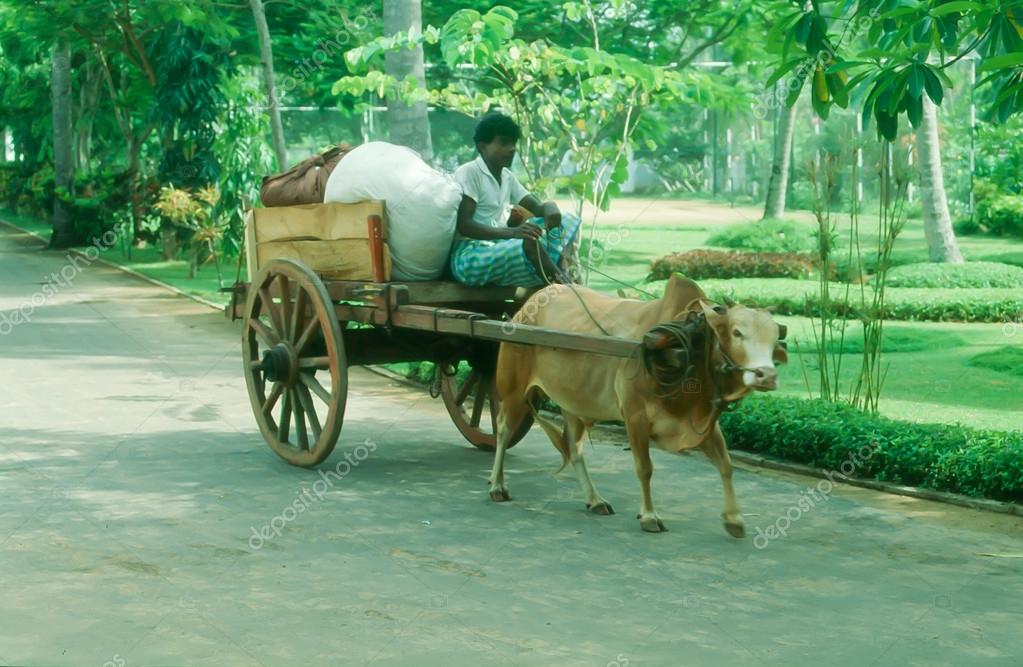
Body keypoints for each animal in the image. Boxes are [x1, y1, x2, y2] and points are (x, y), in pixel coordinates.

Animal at [488, 274, 787, 535]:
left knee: (574, 447)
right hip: (513, 391)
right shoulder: (635, 417)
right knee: (503, 430)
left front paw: (734, 519)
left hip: (572, 401)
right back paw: (497, 486)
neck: (687, 351)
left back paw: (595, 500)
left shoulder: (702, 423)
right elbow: (645, 468)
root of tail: (530, 303)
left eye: (774, 337)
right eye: (737, 333)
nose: (767, 376)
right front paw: (649, 516)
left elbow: (725, 465)